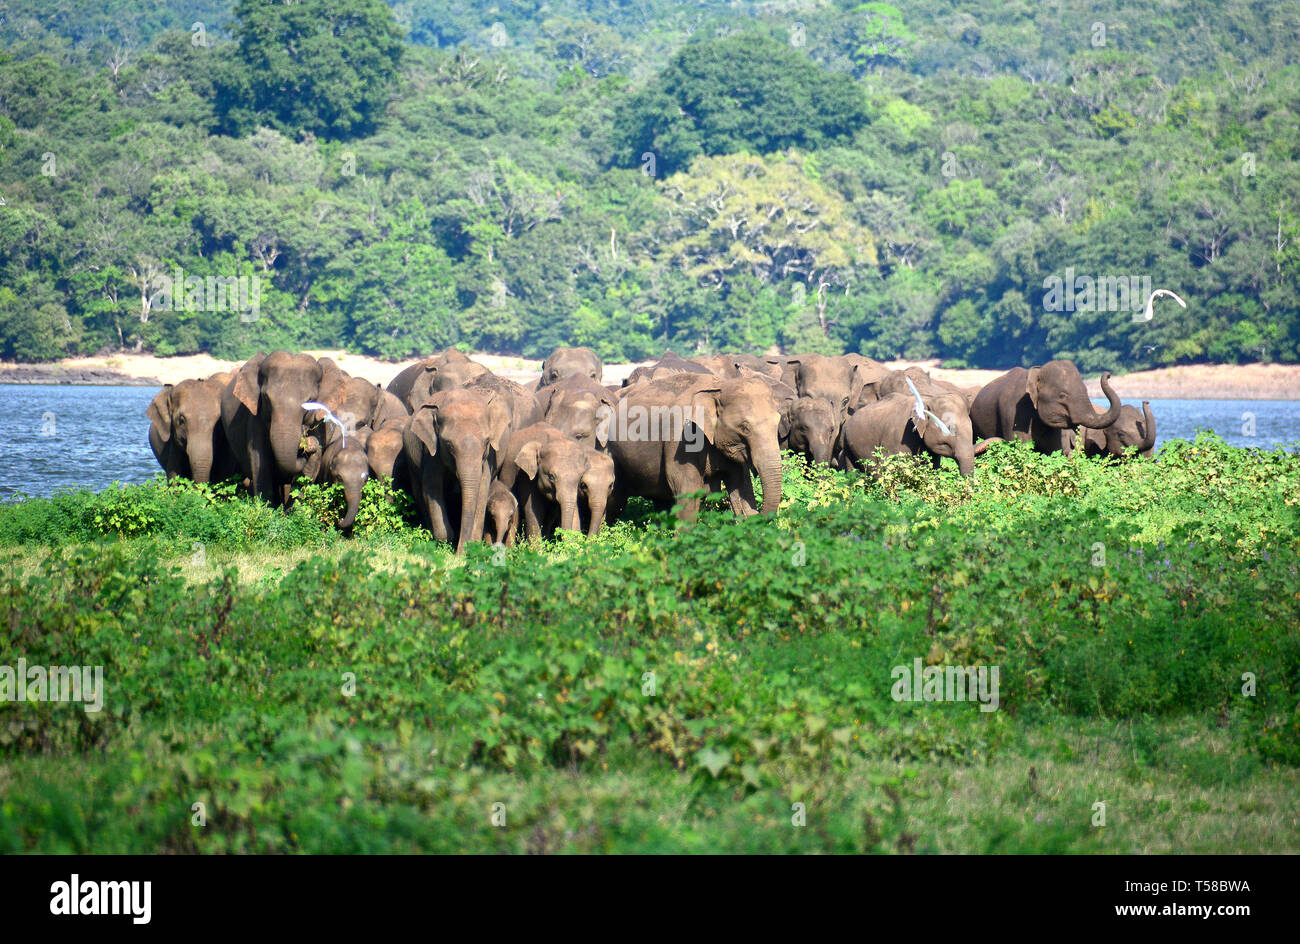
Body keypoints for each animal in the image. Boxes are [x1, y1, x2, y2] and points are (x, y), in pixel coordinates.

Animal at [402, 386, 511, 553]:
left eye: (487, 441)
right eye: (448, 444)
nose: (460, 554)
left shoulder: (489, 457)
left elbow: (481, 490)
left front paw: (472, 544)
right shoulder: (431, 452)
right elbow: (432, 489)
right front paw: (446, 541)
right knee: (419, 492)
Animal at [606, 373, 783, 520]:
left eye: (778, 422)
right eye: (745, 427)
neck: (718, 388)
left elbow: (741, 484)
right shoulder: (681, 437)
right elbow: (687, 489)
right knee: (615, 501)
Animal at [970, 360, 1122, 456]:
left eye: (1086, 390)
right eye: (1062, 396)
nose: (1108, 374)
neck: (1037, 372)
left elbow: (1054, 450)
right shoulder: (1013, 413)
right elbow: (1023, 448)